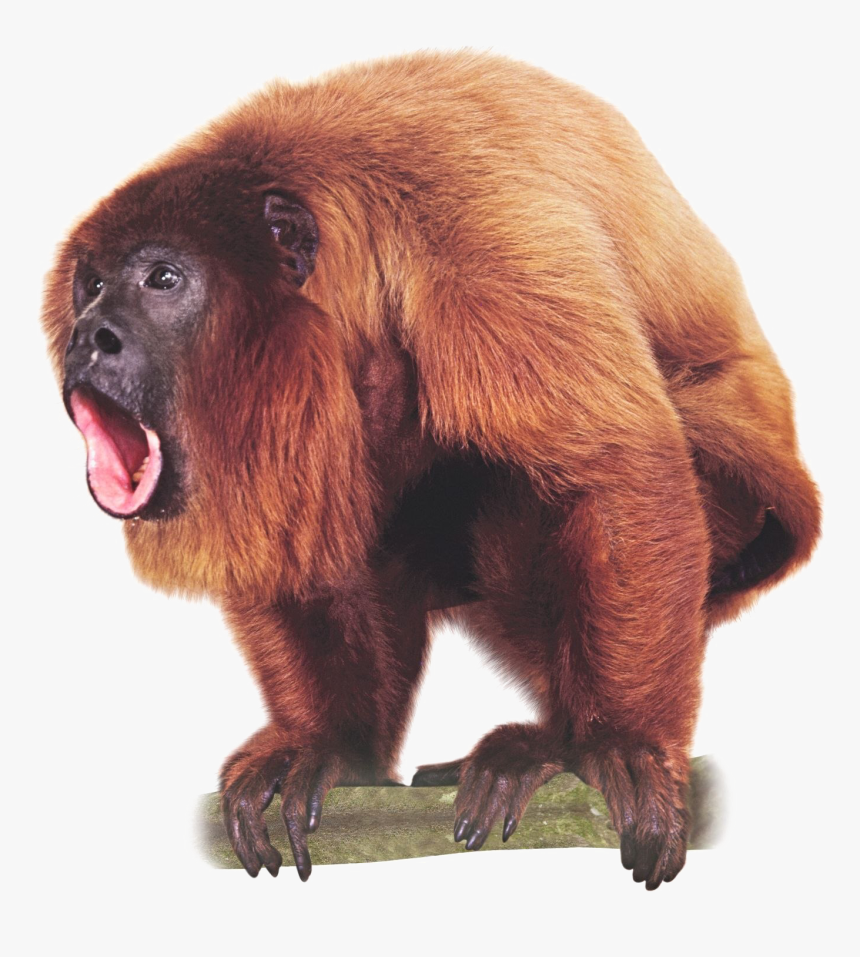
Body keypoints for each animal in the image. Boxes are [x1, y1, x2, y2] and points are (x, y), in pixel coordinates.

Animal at [41, 51, 820, 891]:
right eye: (91, 286)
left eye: (163, 279)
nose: (91, 335)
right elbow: (288, 544)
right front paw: (326, 744)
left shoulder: (481, 250)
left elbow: (616, 468)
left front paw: (622, 743)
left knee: (517, 492)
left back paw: (547, 747)